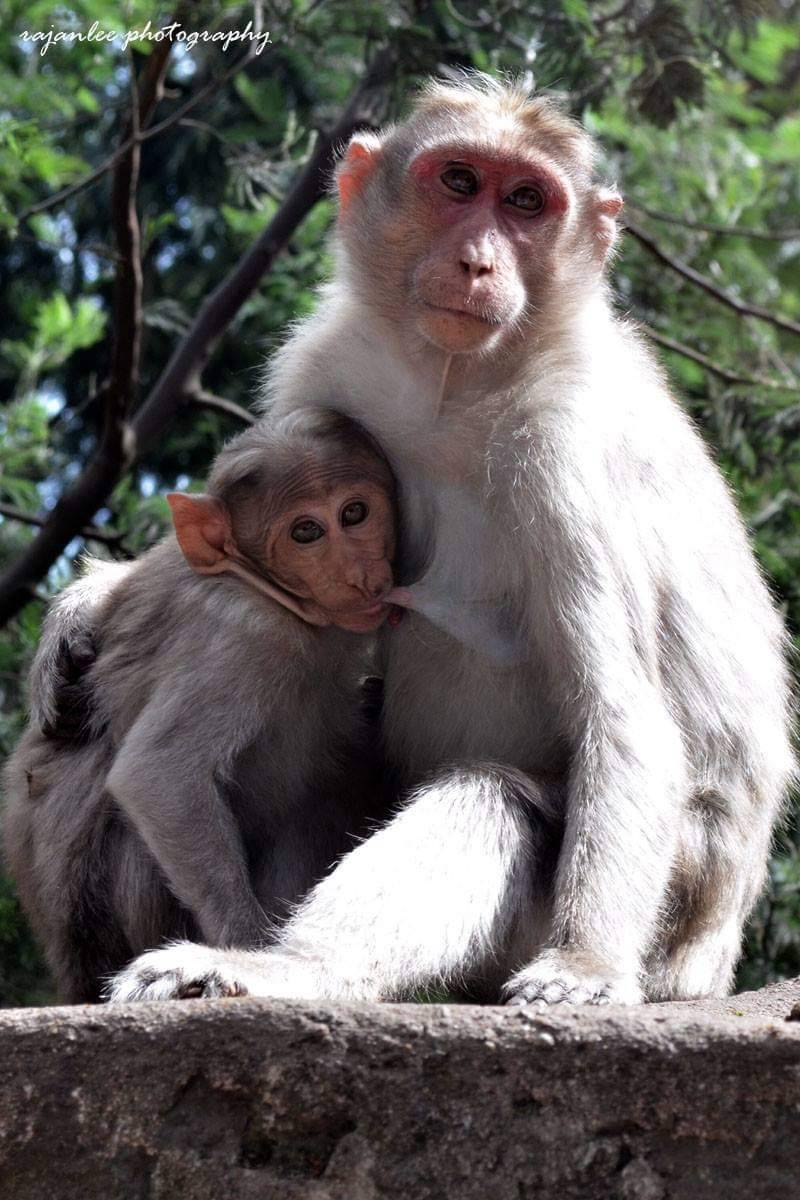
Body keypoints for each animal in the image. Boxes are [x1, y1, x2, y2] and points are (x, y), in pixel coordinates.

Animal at [2, 408, 399, 1003]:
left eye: (355, 513)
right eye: (306, 531)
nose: (359, 575)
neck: (254, 581)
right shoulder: (244, 637)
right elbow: (158, 775)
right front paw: (245, 954)